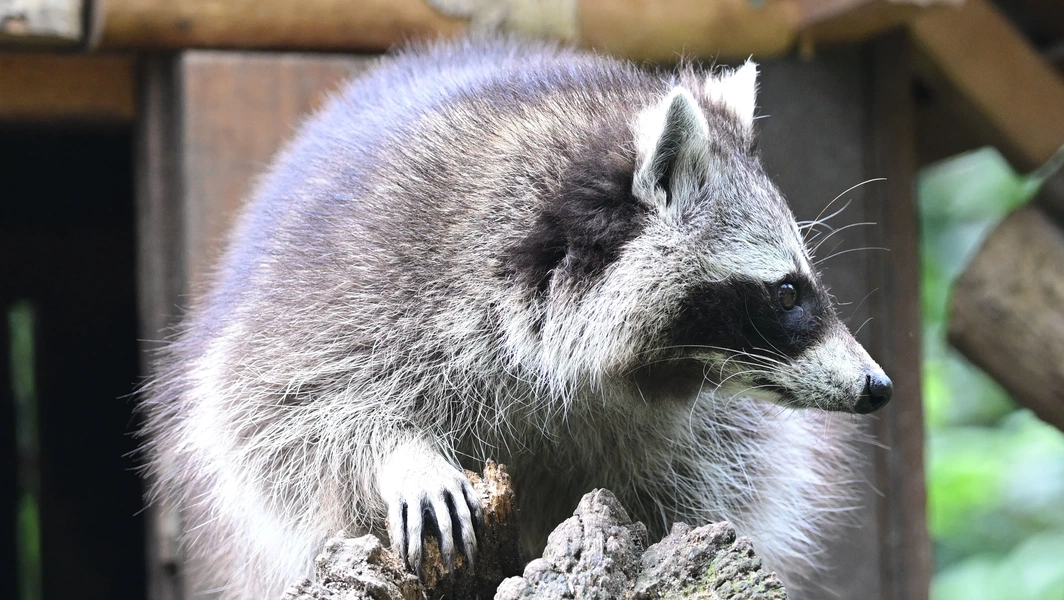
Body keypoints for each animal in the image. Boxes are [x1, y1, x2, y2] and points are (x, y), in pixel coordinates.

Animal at [140, 37, 893, 599]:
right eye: (787, 293)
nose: (878, 386)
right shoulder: (359, 276)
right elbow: (284, 407)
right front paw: (402, 455)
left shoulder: (713, 425)